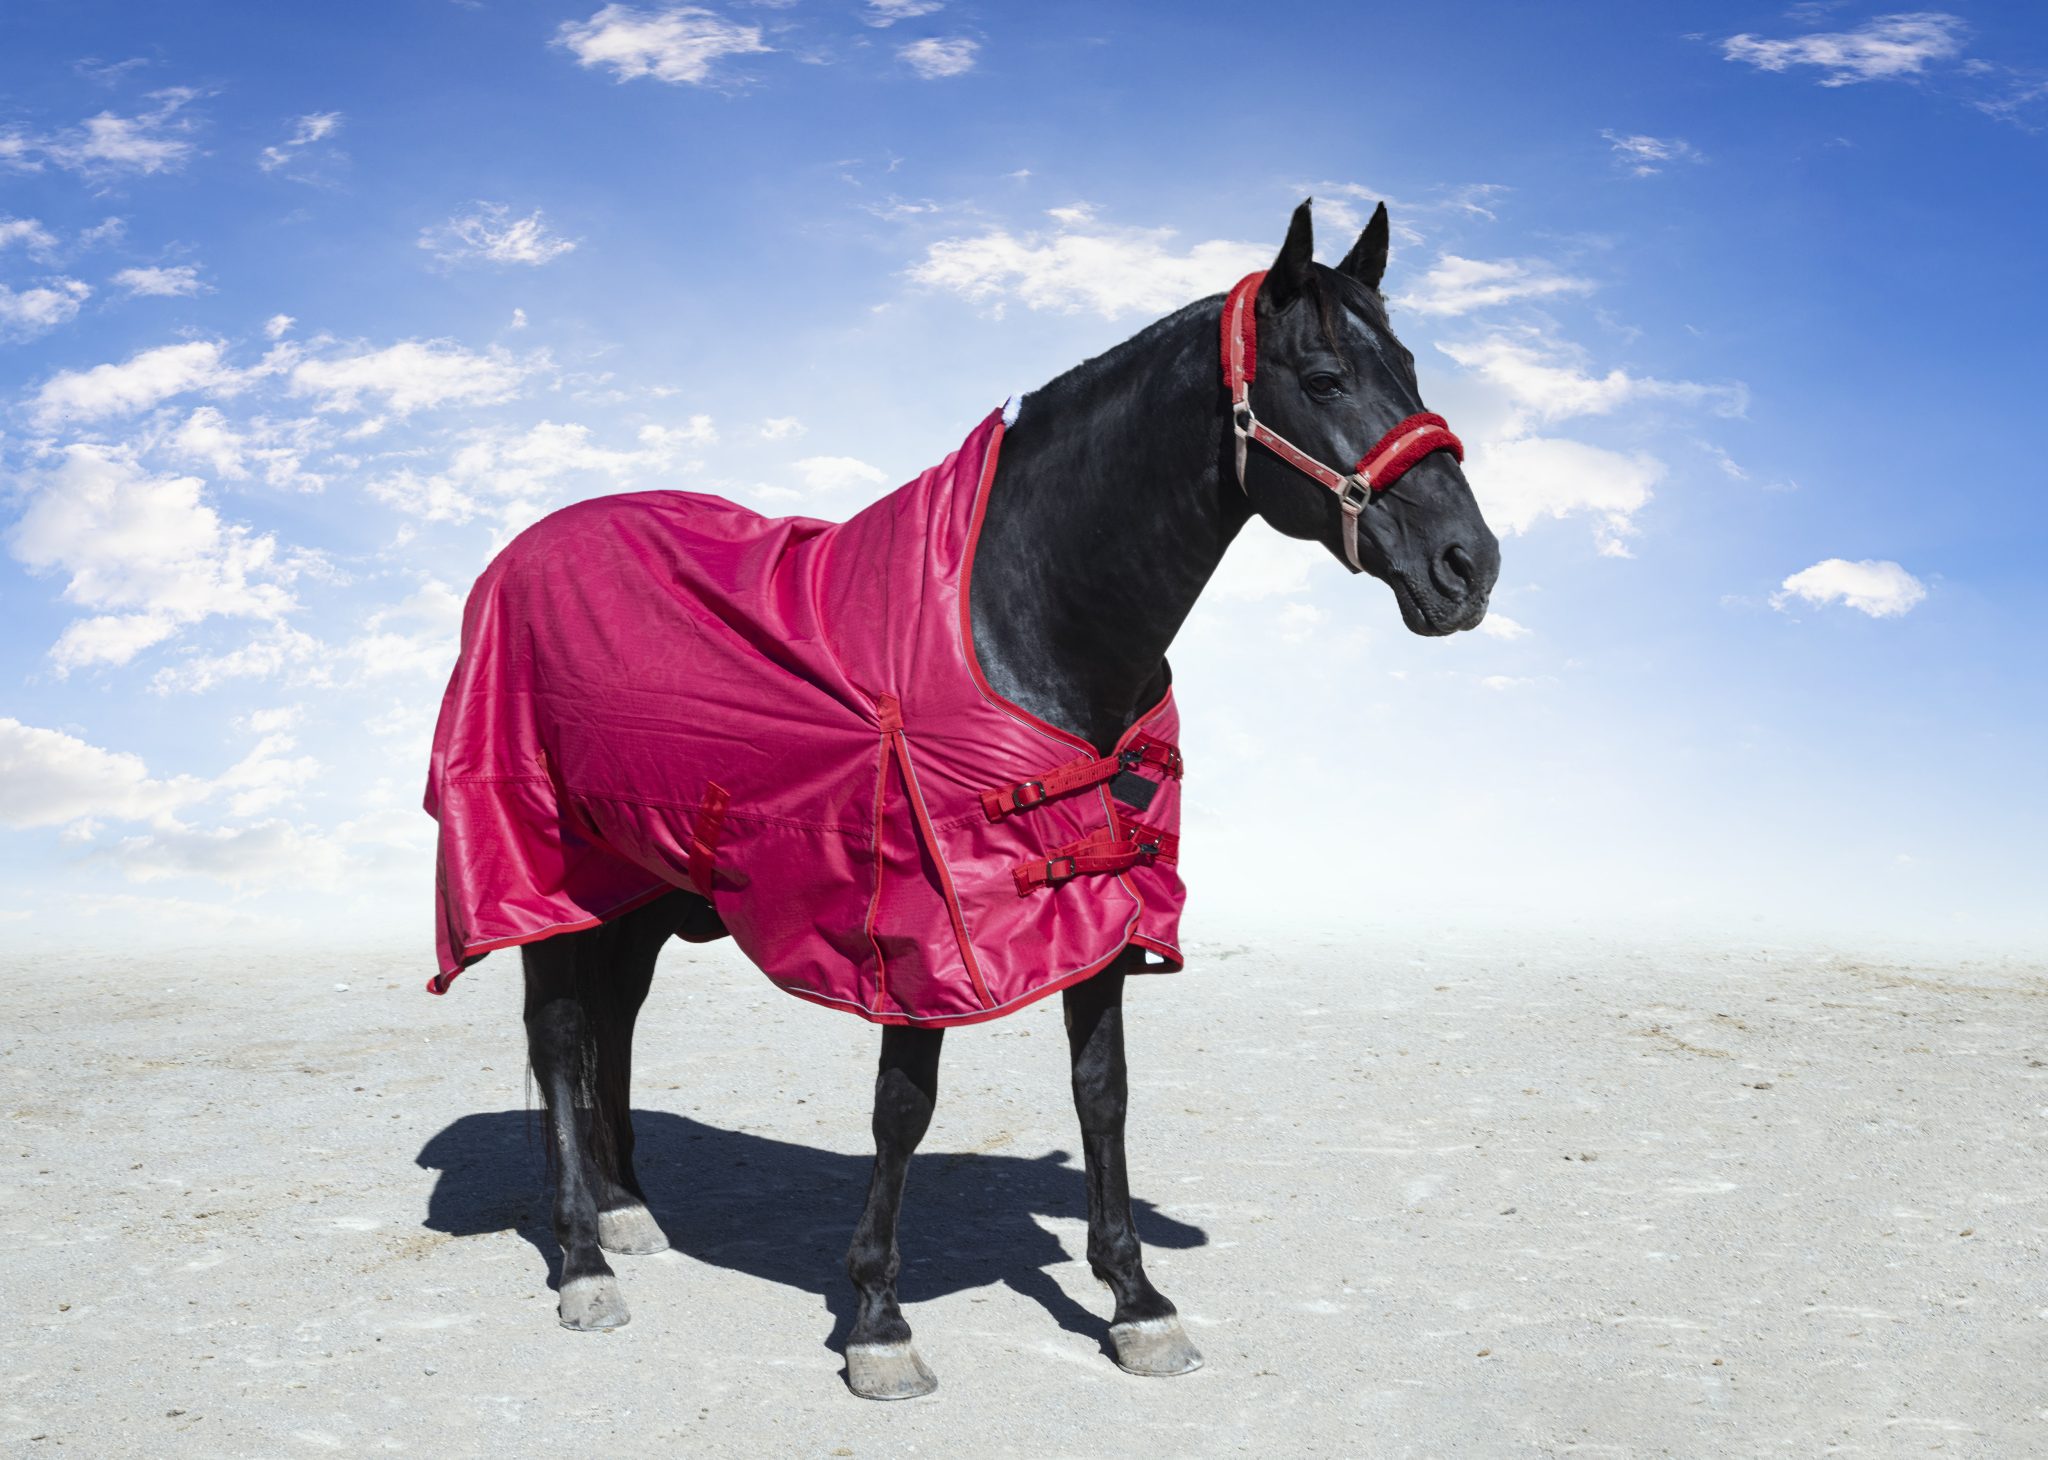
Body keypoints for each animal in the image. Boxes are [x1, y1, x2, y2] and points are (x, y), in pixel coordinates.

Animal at [438, 199, 1500, 1399]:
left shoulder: (1097, 901)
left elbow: (1102, 1088)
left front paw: (1137, 1302)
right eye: (1322, 377)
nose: (1469, 566)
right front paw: (877, 1321)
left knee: (610, 1021)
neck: (1021, 616)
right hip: (546, 872)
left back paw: (626, 1212)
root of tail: (522, 552)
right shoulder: (920, 932)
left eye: (1409, 367)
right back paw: (582, 1259)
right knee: (560, 1031)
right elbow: (903, 1108)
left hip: (643, 884)